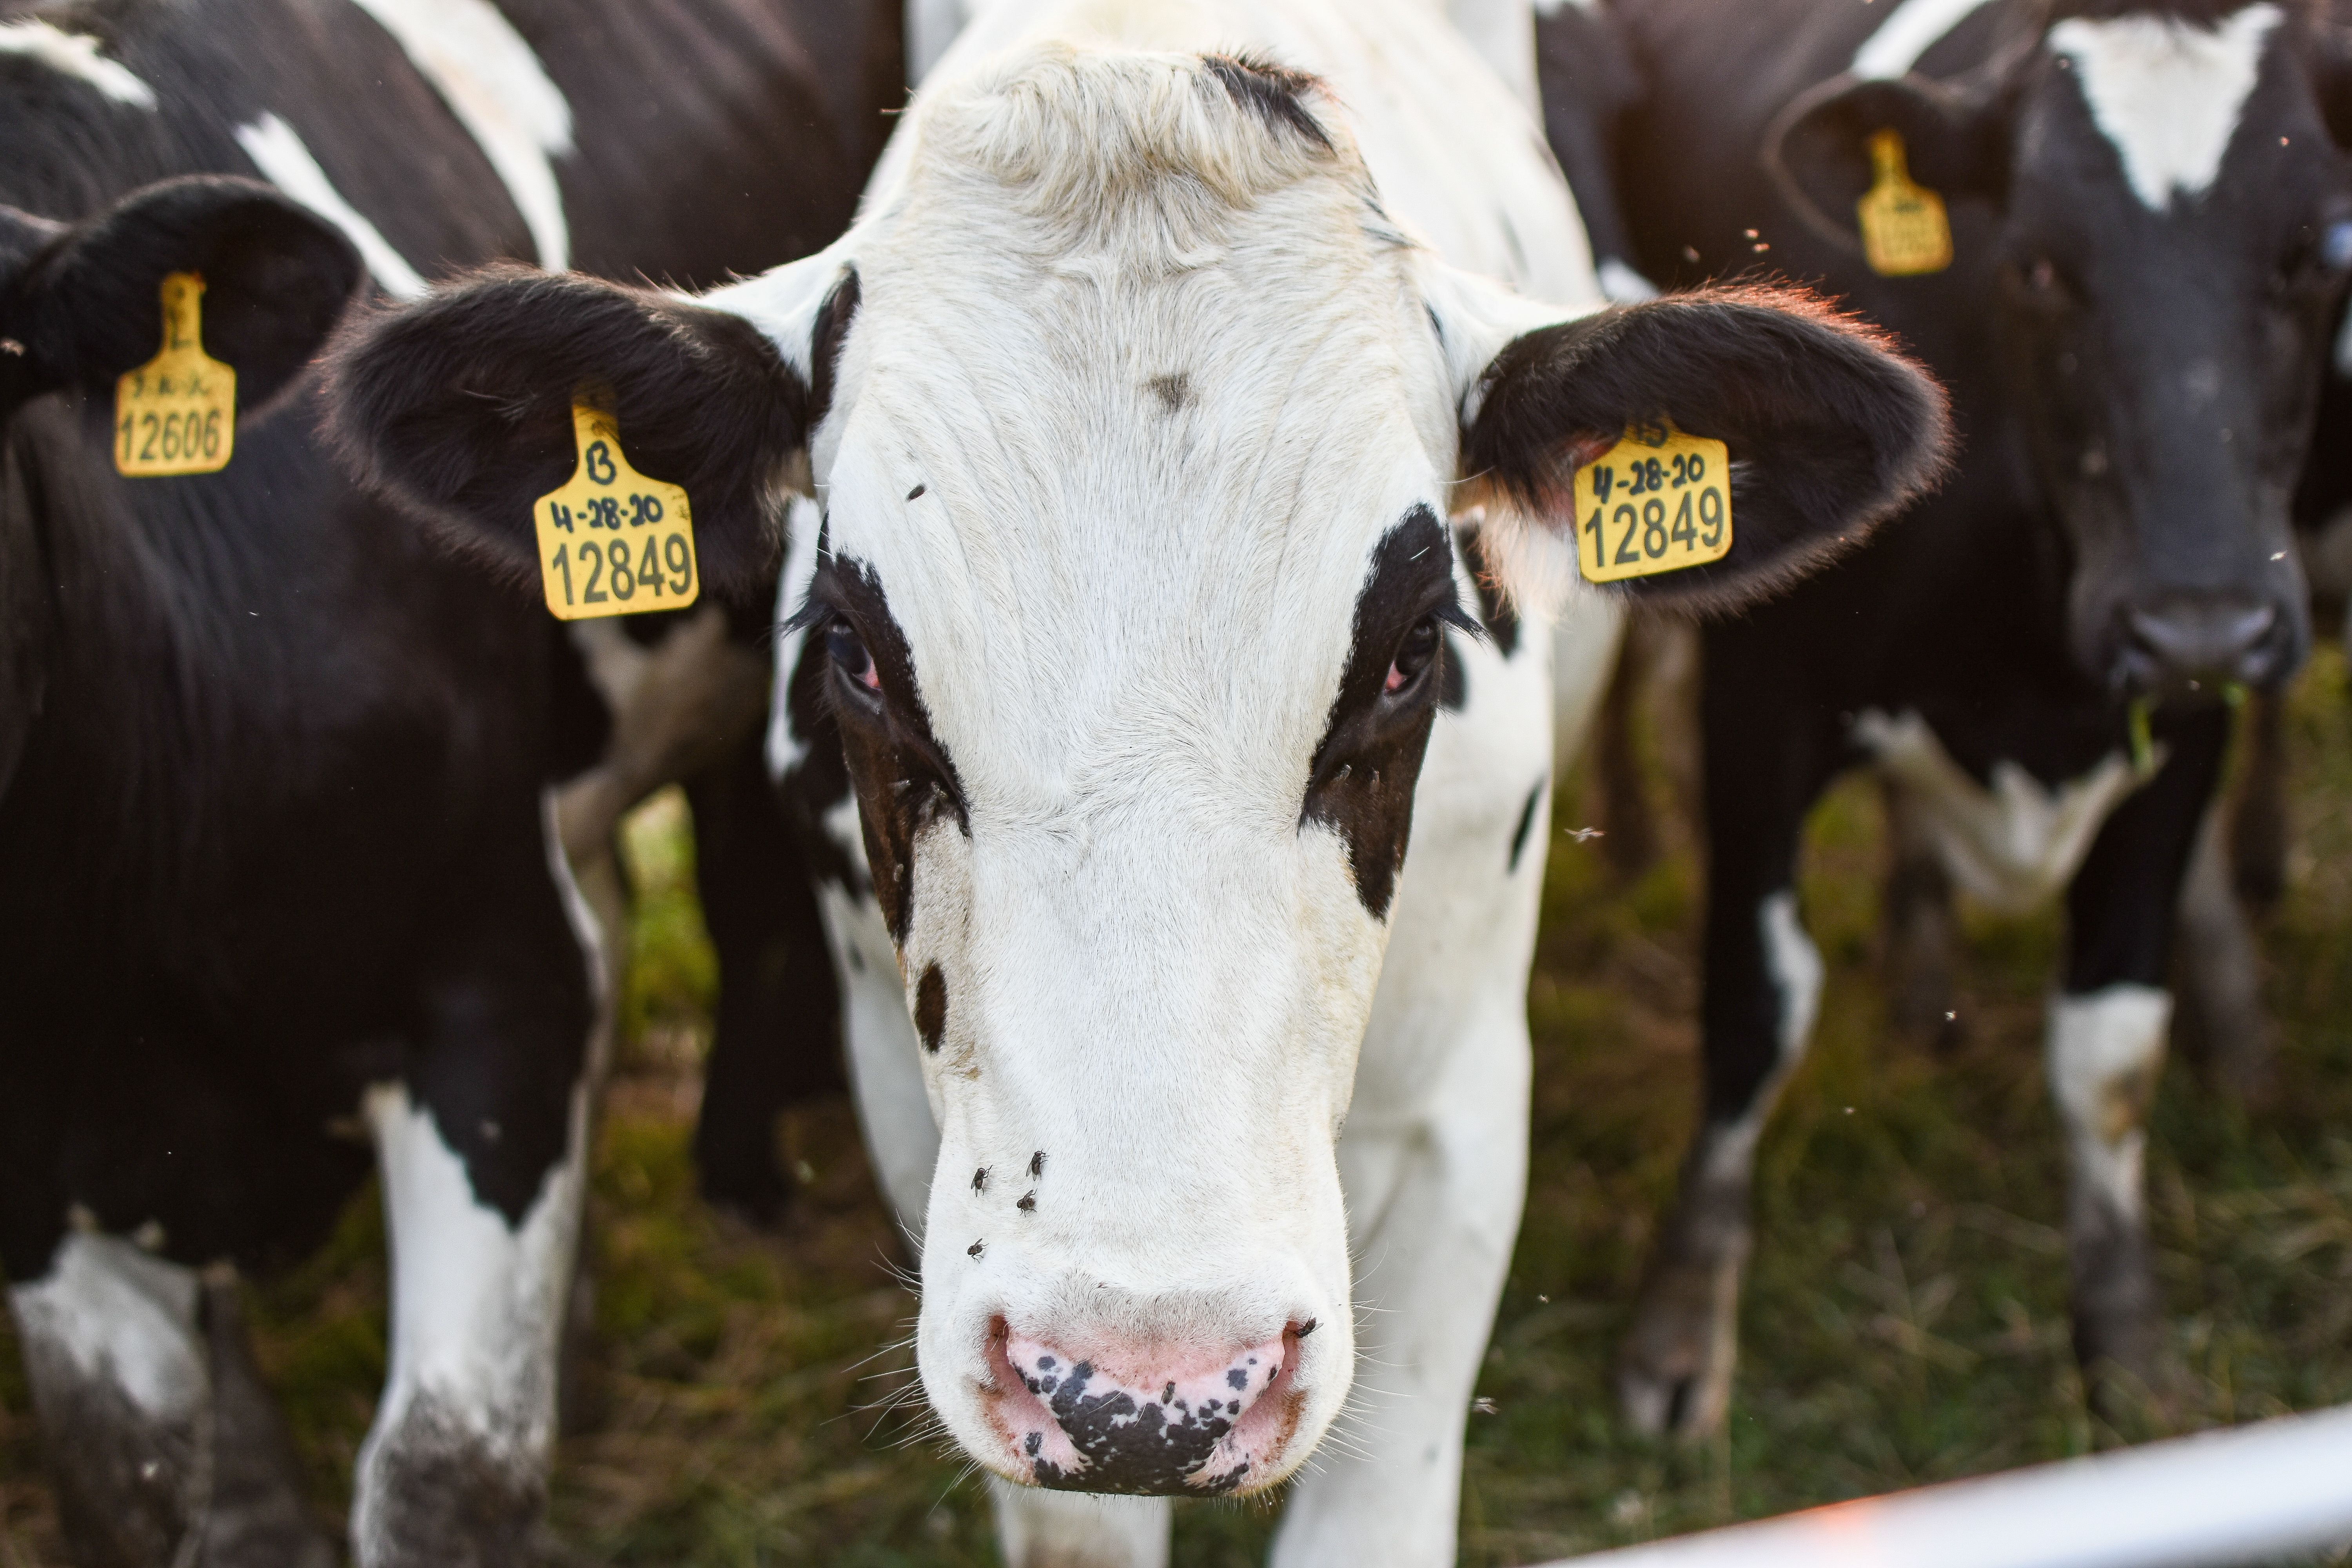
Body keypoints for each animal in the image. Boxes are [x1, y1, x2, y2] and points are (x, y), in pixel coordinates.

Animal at [1552, 0, 2352, 1438]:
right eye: (2034, 262)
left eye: (2323, 252)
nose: (2200, 622)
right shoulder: (1763, 704)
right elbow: (1758, 1008)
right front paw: (1679, 1333)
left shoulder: (2179, 735)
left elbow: (2110, 1050)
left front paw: (2127, 1347)